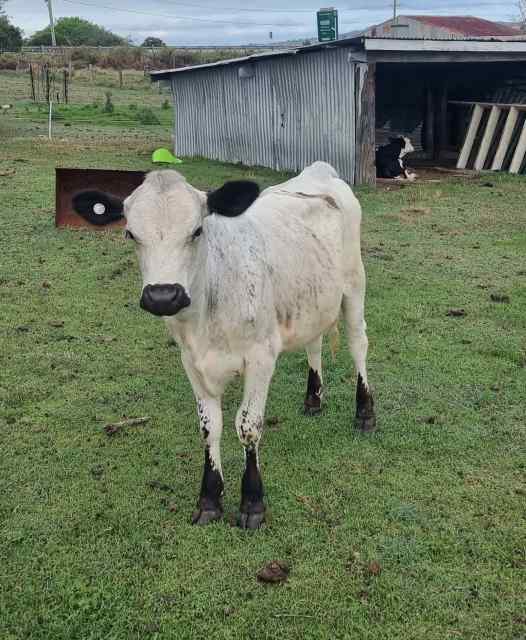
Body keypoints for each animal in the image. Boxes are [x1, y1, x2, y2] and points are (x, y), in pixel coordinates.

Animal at [78, 162, 376, 529]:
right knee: (314, 343)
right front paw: (208, 499)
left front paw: (252, 503)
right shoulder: (191, 361)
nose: (163, 295)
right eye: (131, 234)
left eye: (196, 231)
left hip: (354, 285)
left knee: (358, 343)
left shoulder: (262, 356)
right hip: (312, 298)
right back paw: (313, 399)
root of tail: (319, 171)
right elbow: (210, 427)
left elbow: (247, 426)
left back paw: (365, 412)